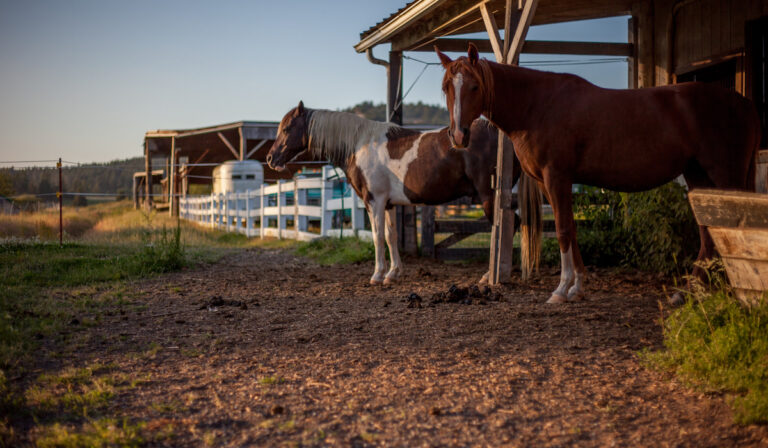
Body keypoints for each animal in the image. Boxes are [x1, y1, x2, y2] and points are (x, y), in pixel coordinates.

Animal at [266, 101, 537, 285]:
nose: (270, 158)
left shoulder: (374, 202)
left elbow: (377, 237)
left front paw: (377, 275)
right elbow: (390, 236)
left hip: (489, 197)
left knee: (507, 226)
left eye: (287, 128)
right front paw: (393, 273)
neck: (360, 145)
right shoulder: (388, 204)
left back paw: (493, 273)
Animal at [436, 43, 760, 304]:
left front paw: (560, 290)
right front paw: (577, 288)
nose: (459, 135)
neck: (536, 106)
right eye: (446, 87)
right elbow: (572, 228)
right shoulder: (550, 183)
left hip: (724, 176)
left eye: (474, 86)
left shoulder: (557, 177)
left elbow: (563, 230)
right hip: (698, 175)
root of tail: (745, 104)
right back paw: (688, 293)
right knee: (708, 236)